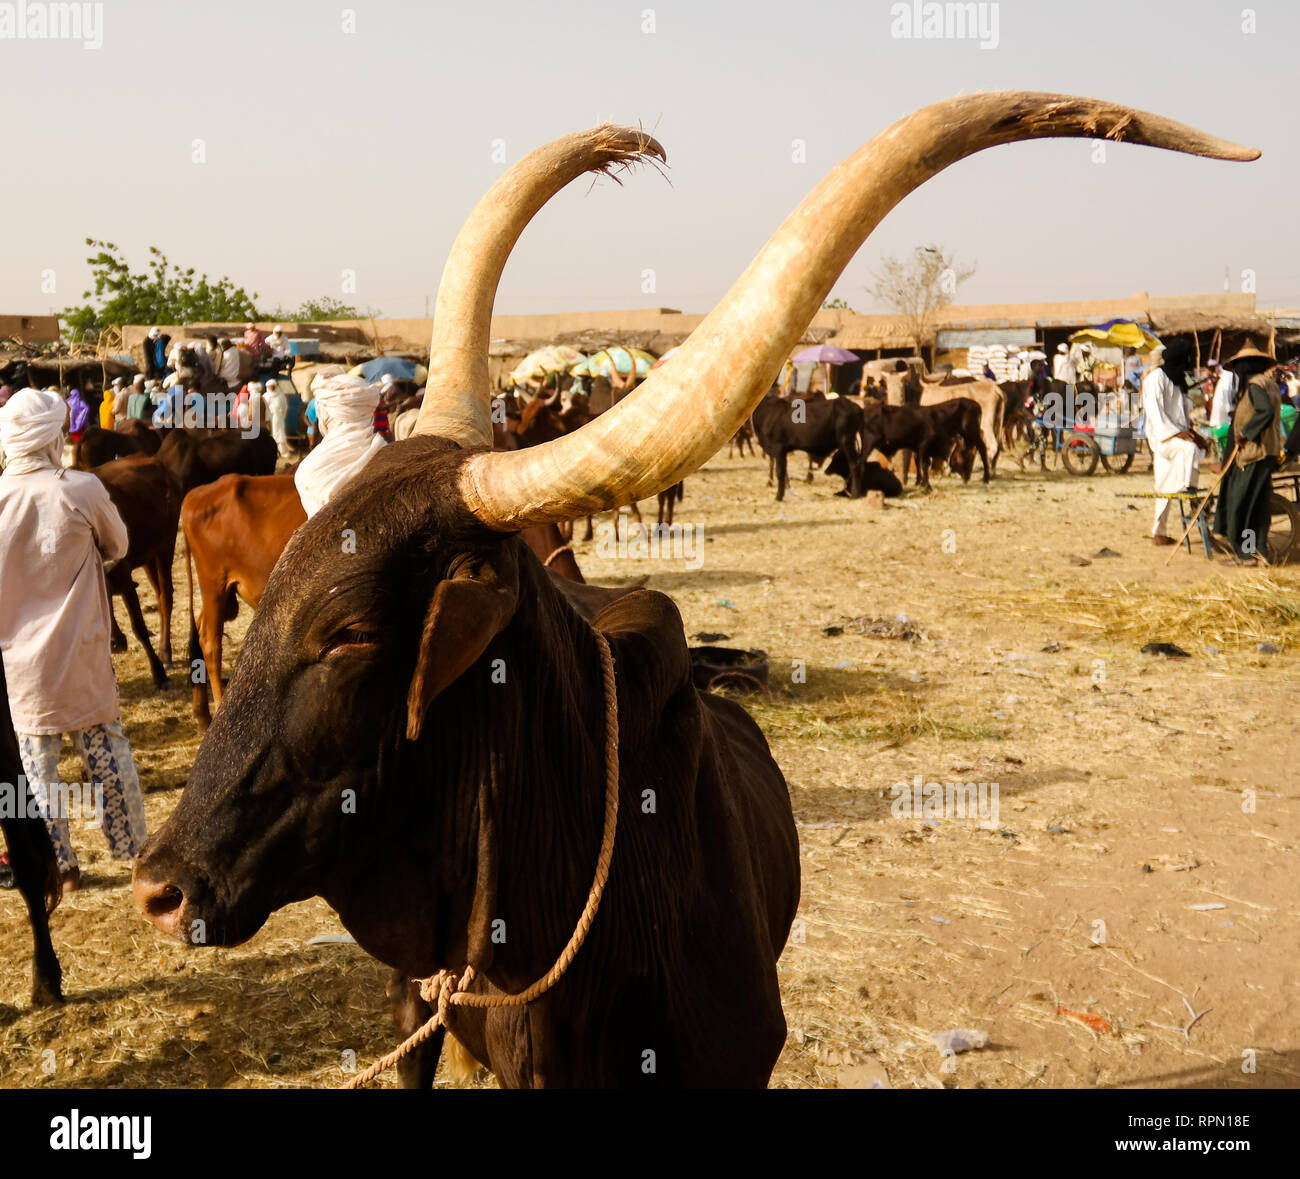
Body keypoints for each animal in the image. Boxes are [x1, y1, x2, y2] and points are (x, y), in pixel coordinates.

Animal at [95, 455, 182, 688]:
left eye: (108, 596)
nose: (115, 644)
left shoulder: (125, 579)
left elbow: (139, 627)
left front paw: (160, 676)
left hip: (166, 545)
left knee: (165, 596)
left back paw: (165, 652)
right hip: (148, 558)